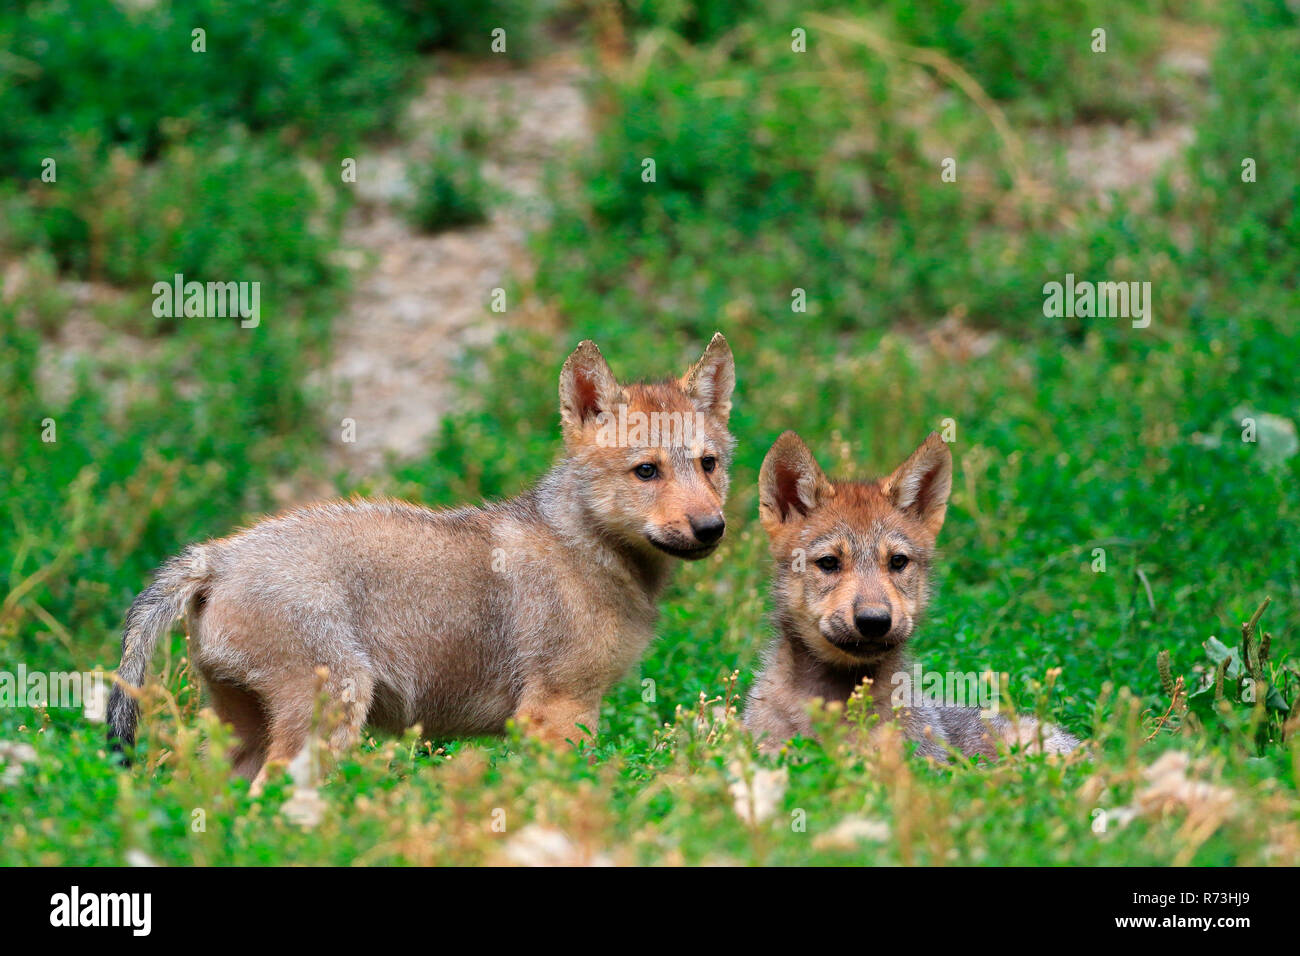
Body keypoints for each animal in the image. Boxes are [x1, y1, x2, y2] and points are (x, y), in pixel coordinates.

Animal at [109, 334, 736, 786]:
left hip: (244, 733)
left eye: (708, 464)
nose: (712, 528)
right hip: (328, 717)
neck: (588, 549)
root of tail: (217, 556)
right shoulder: (560, 712)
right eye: (647, 470)